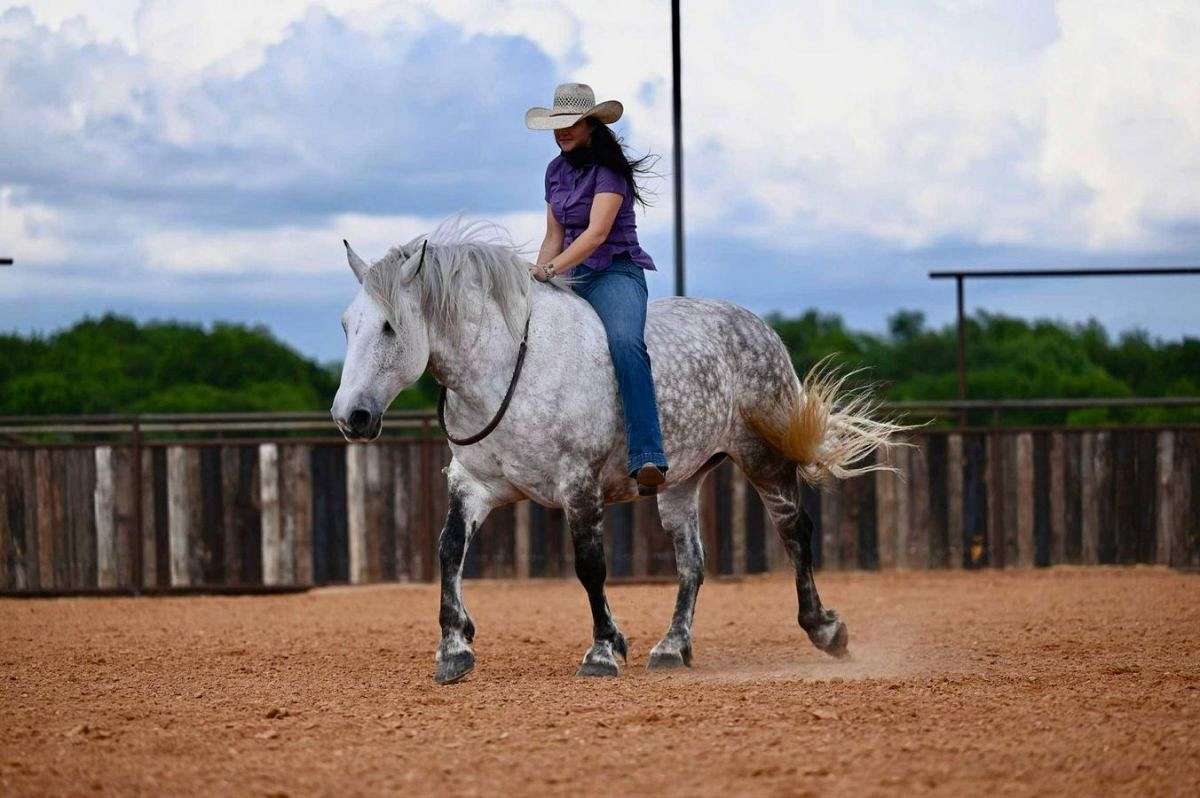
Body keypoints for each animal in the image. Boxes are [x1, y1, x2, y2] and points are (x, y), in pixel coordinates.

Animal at [331, 218, 903, 684]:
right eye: (345, 324)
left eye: (389, 326)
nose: (350, 416)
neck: (508, 367)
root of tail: (760, 329)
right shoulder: (473, 484)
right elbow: (449, 550)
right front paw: (453, 647)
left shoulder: (578, 485)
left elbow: (590, 565)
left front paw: (604, 650)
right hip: (680, 483)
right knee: (692, 562)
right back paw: (672, 646)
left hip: (764, 458)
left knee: (795, 533)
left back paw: (825, 630)